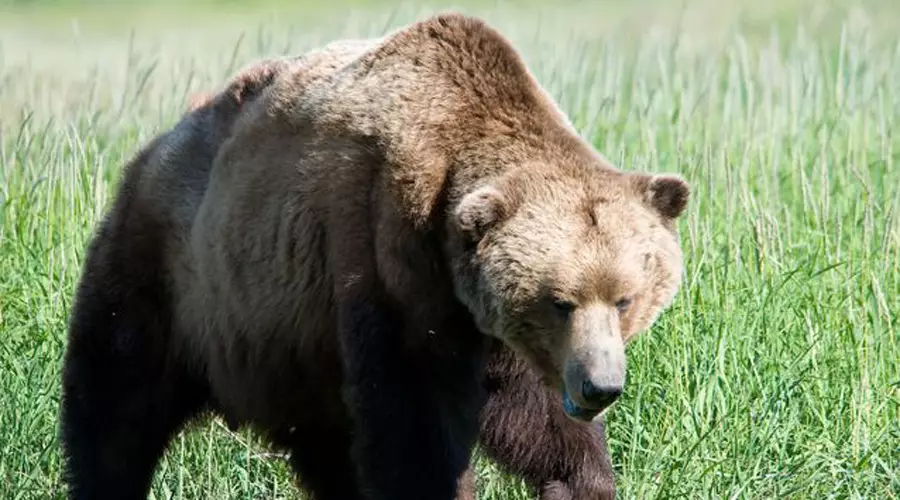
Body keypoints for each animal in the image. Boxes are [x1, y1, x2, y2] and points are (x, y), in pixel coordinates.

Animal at [58, 12, 688, 500]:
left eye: (625, 298)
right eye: (560, 301)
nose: (600, 387)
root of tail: (156, 146)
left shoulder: (489, 325)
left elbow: (535, 418)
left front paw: (578, 478)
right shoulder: (388, 257)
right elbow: (414, 419)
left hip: (293, 352)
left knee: (324, 445)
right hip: (175, 275)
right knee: (116, 402)